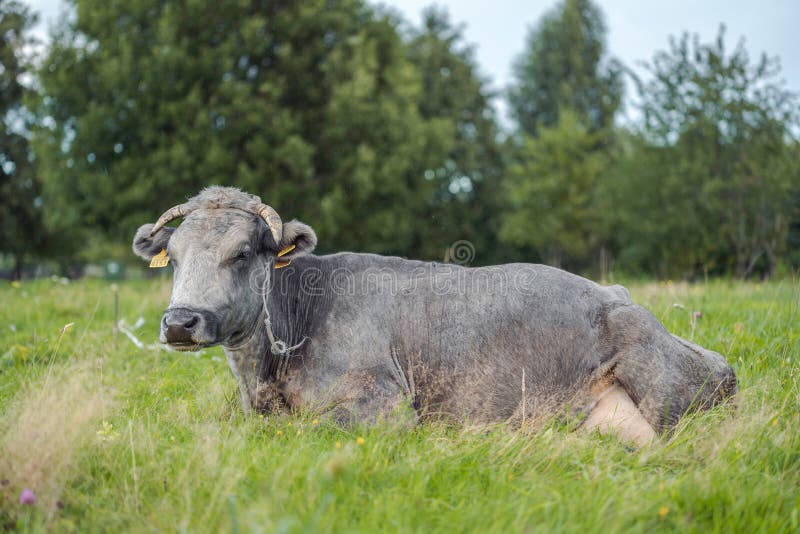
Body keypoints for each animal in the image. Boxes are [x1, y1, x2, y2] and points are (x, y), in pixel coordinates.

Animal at [132, 187, 736, 445]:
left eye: (240, 254)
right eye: (174, 257)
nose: (180, 322)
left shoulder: (384, 402)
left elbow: (318, 426)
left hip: (660, 382)